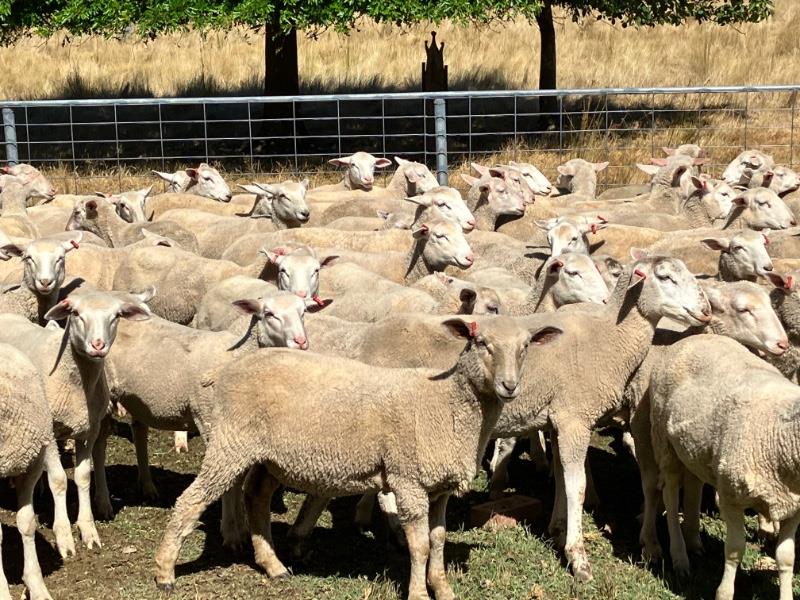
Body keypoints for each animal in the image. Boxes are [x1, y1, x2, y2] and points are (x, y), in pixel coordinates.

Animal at [0, 288, 152, 550]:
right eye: (77, 314)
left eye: (116, 316)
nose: (98, 345)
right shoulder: (49, 432)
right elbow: (59, 479)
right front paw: (64, 536)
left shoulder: (88, 430)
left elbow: (82, 477)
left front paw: (88, 529)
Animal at [153, 315, 563, 597]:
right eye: (480, 342)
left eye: (526, 346)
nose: (509, 386)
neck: (445, 404)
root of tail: (228, 367)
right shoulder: (407, 478)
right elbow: (419, 544)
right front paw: (418, 592)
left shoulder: (440, 488)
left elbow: (439, 539)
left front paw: (443, 588)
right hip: (231, 443)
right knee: (191, 501)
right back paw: (165, 572)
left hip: (271, 456)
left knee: (256, 496)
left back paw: (274, 565)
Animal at [648, 334, 800, 600]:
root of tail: (692, 338)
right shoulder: (731, 498)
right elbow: (735, 550)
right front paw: (724, 592)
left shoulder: (793, 508)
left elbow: (786, 557)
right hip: (664, 444)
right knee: (670, 494)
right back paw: (680, 557)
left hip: (694, 448)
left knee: (694, 484)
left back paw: (694, 541)